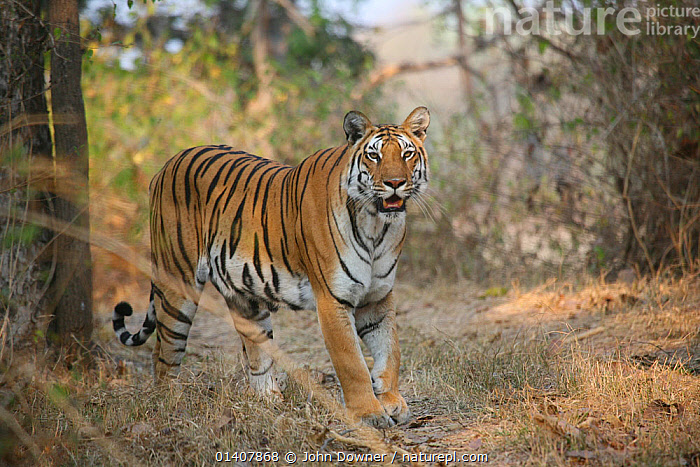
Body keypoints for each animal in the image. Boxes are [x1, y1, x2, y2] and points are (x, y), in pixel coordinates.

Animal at [113, 107, 430, 428]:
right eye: (374, 156)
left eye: (406, 154)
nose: (394, 183)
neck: (377, 227)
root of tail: (165, 165)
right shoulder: (333, 300)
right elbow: (352, 362)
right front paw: (369, 414)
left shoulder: (377, 297)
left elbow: (390, 350)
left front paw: (392, 401)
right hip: (178, 283)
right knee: (164, 354)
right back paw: (169, 405)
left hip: (244, 296)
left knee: (256, 350)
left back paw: (268, 400)